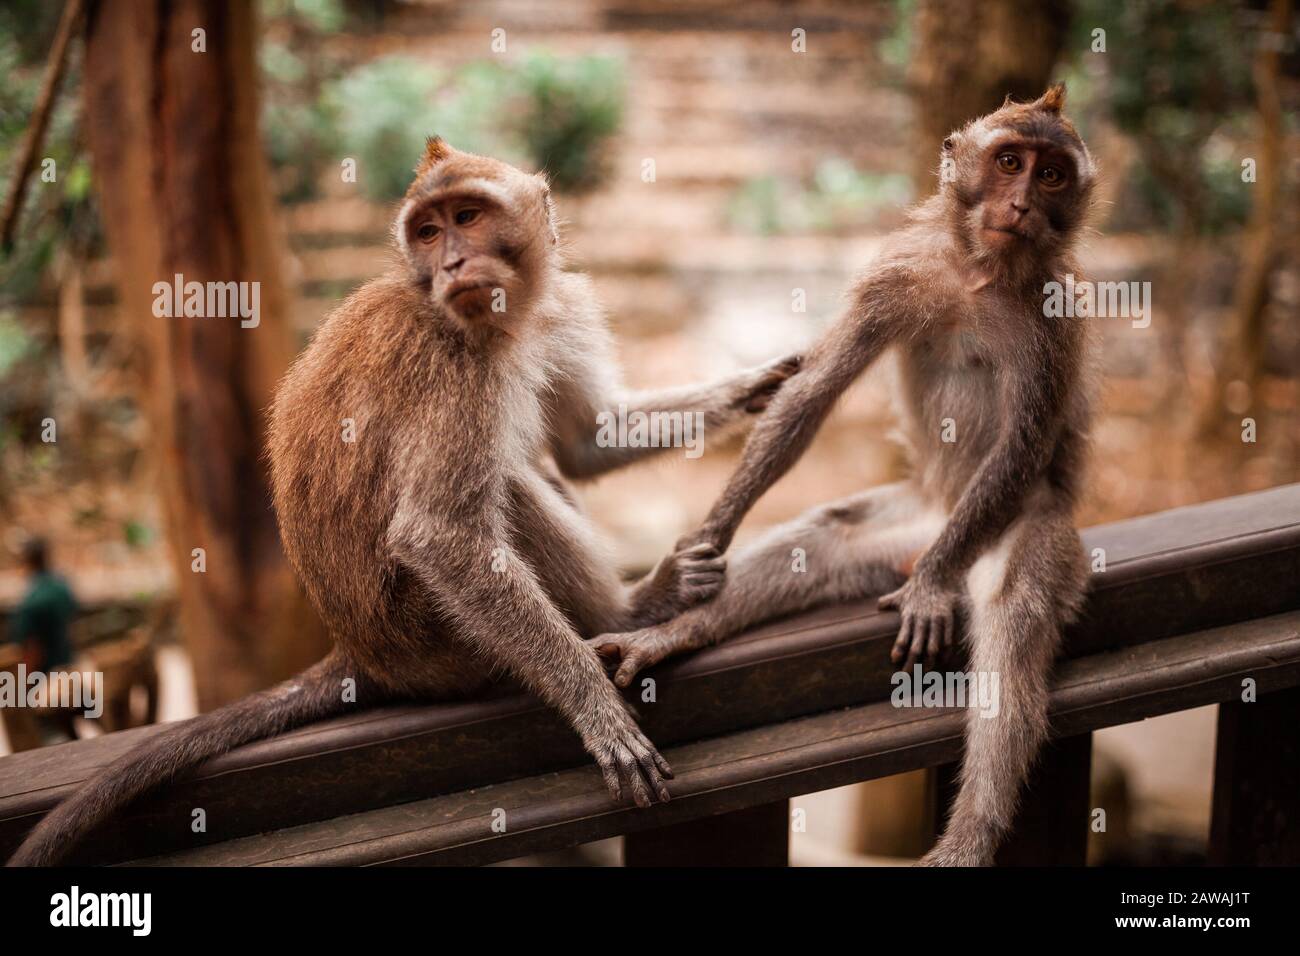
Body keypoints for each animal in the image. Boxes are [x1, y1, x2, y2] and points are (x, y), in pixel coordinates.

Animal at [7, 138, 800, 866]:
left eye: (467, 217)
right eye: (426, 232)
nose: (450, 265)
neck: (500, 318)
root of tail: (360, 653)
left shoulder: (559, 311)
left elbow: (588, 442)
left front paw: (758, 386)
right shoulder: (449, 363)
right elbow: (437, 534)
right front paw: (593, 707)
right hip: (438, 644)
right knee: (505, 489)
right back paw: (630, 611)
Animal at [591, 85, 1098, 867]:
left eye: (1051, 176)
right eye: (1010, 162)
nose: (1020, 204)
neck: (982, 273)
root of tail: (936, 522)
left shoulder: (1056, 318)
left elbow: (1023, 445)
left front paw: (930, 588)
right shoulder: (892, 277)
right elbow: (813, 393)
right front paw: (702, 546)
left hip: (1015, 527)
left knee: (1014, 621)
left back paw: (969, 832)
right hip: (909, 522)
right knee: (823, 540)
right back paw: (672, 635)